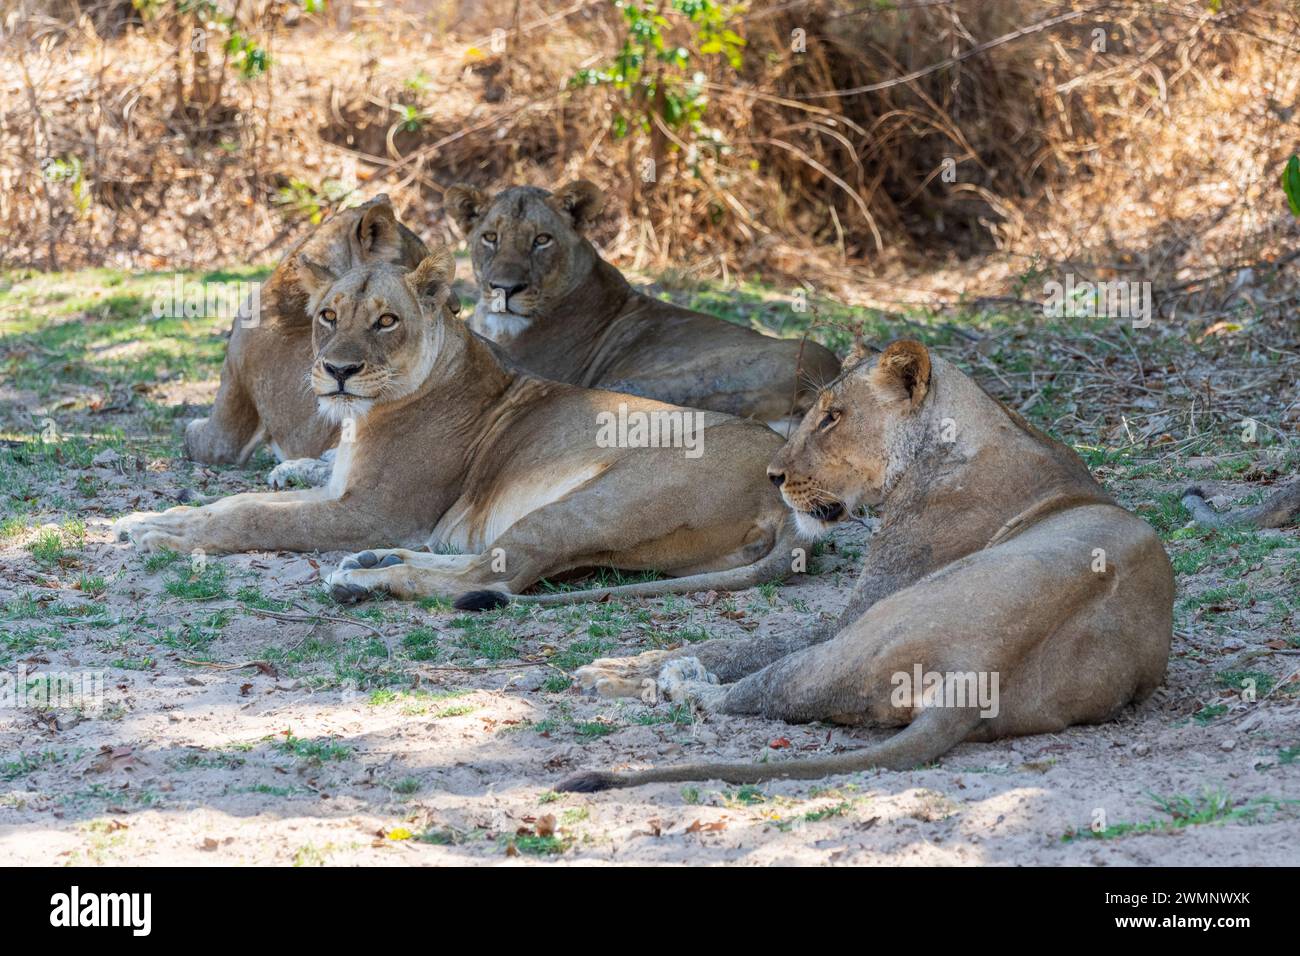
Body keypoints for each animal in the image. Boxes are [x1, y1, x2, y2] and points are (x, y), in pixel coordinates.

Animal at [114, 250, 806, 609]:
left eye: (386, 321)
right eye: (329, 316)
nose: (337, 370)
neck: (365, 417)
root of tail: (783, 496)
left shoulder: (374, 511)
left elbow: (253, 518)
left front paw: (160, 534)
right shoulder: (341, 493)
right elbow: (240, 501)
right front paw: (150, 518)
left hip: (595, 504)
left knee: (492, 577)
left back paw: (365, 578)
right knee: (480, 561)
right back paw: (375, 562)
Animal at [559, 339, 1174, 790]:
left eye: (832, 417)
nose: (772, 477)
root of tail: (976, 678)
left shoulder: (852, 613)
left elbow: (735, 644)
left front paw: (625, 668)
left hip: (856, 641)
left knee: (748, 692)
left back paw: (669, 682)